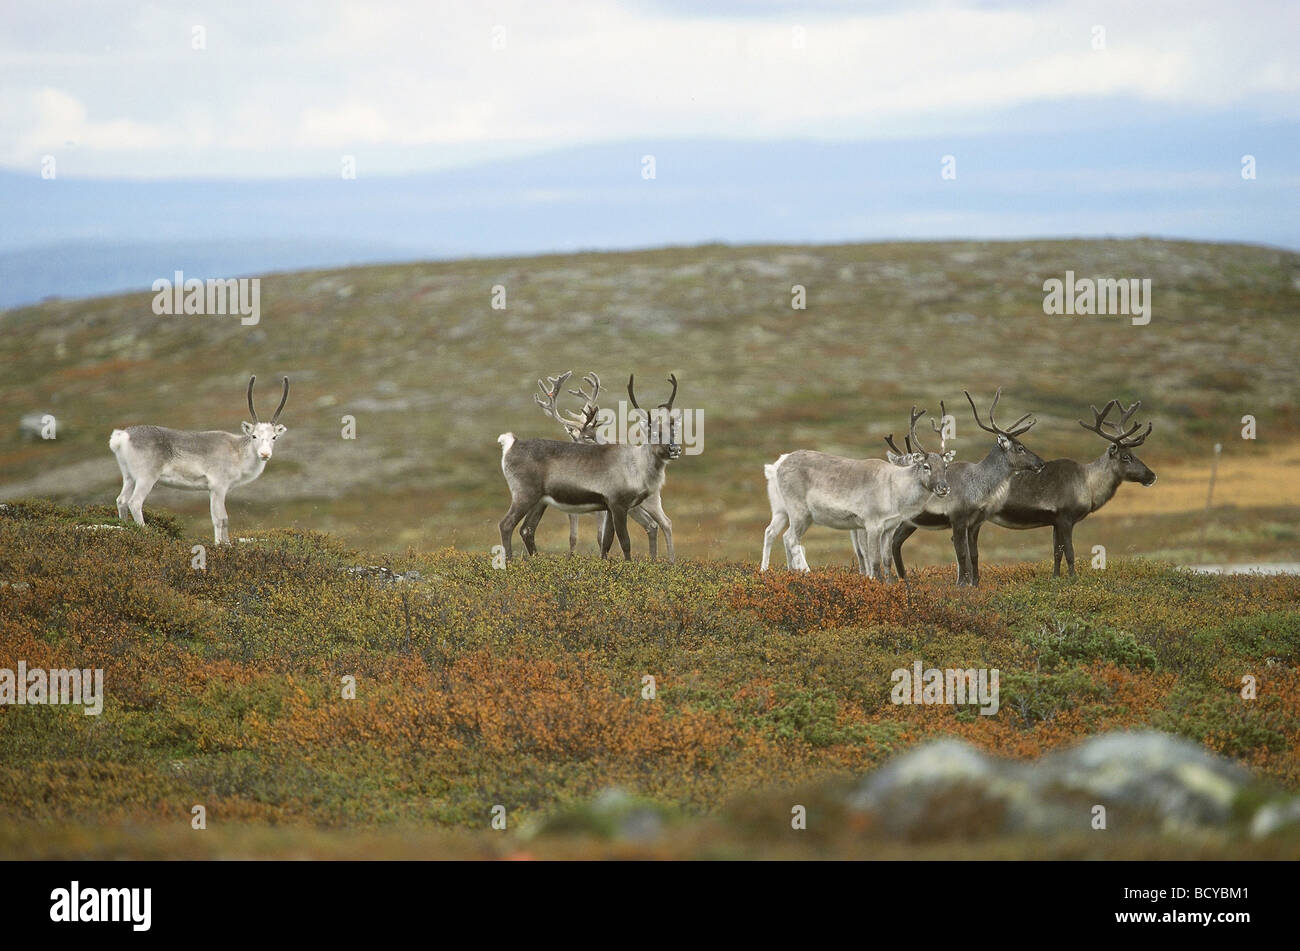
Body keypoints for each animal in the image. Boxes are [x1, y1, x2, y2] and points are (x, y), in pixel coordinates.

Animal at [108, 375, 289, 545]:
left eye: (274, 437)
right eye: (254, 436)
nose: (265, 454)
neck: (238, 452)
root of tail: (122, 436)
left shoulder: (212, 489)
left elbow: (219, 519)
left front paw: (224, 544)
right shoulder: (219, 486)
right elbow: (221, 518)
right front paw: (222, 546)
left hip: (129, 476)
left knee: (121, 500)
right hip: (146, 477)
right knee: (134, 502)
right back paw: (146, 534)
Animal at [498, 373, 682, 561]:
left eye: (674, 432)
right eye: (654, 433)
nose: (674, 449)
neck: (636, 467)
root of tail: (511, 444)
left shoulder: (610, 507)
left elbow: (607, 541)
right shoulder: (617, 504)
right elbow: (624, 542)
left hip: (540, 500)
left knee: (527, 529)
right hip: (524, 494)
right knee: (506, 524)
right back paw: (510, 561)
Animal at [761, 406, 951, 580]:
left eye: (945, 466)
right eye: (926, 466)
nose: (944, 487)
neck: (896, 490)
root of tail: (777, 465)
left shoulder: (889, 528)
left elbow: (887, 560)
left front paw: (890, 585)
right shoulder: (872, 524)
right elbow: (873, 560)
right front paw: (873, 582)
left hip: (783, 511)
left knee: (774, 533)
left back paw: (781, 571)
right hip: (800, 512)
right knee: (791, 539)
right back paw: (807, 573)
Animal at [888, 389, 1046, 587]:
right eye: (1020, 448)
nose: (1041, 463)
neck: (979, 486)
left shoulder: (975, 523)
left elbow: (975, 555)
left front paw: (975, 583)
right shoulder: (958, 519)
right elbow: (962, 554)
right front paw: (962, 585)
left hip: (910, 521)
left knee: (896, 542)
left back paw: (904, 581)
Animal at [985, 399, 1155, 576]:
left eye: (1135, 454)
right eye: (1126, 457)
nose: (1152, 476)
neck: (1089, 485)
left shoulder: (1055, 522)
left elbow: (1057, 553)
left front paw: (1055, 577)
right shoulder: (1066, 519)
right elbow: (1070, 553)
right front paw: (1073, 578)